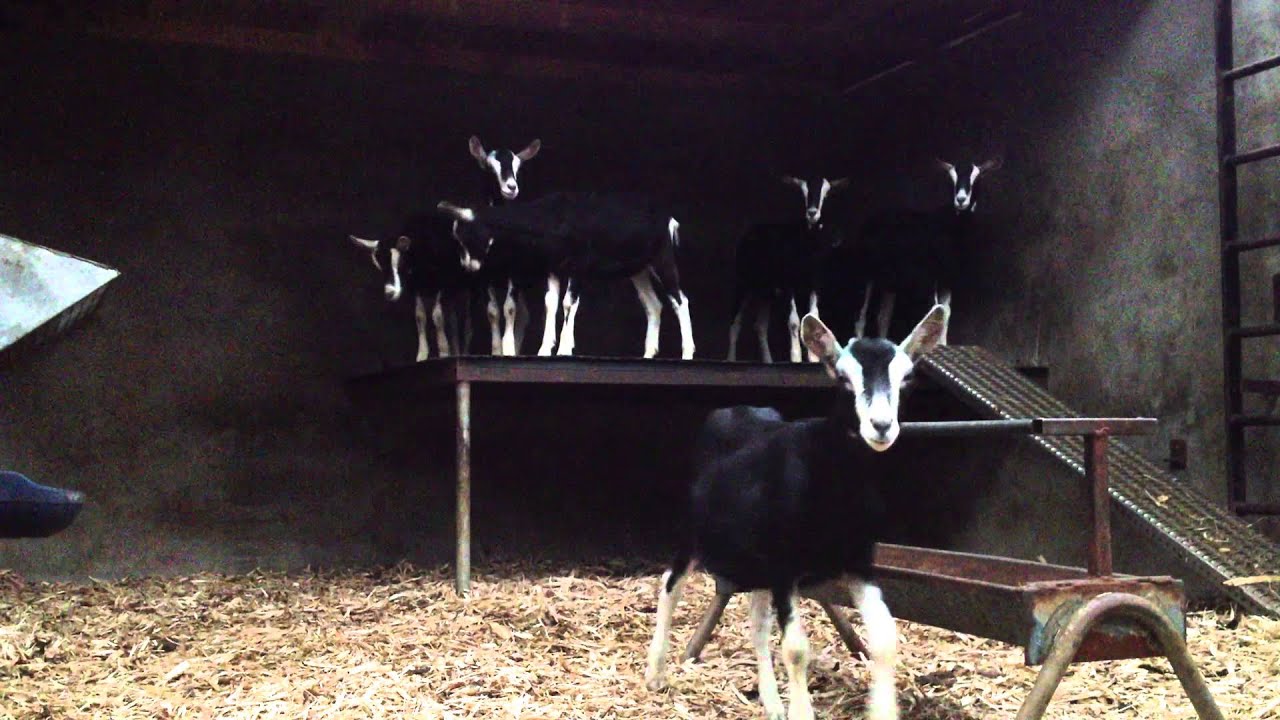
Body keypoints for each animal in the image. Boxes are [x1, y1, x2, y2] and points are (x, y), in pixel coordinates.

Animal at [349, 213, 471, 361]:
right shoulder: (416, 288)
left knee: (466, 318)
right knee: (453, 318)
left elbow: (437, 316)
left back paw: (465, 352)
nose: (389, 292)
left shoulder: (441, 284)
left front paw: (443, 351)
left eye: (401, 263)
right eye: (379, 267)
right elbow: (420, 316)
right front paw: (422, 355)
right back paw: (456, 352)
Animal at [436, 192, 695, 359]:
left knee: (680, 300)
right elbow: (550, 303)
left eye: (468, 236)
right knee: (654, 305)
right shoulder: (554, 268)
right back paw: (648, 354)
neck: (553, 218)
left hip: (662, 259)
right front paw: (543, 350)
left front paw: (563, 349)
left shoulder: (578, 267)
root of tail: (667, 219)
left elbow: (569, 304)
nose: (468, 265)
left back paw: (687, 354)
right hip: (639, 270)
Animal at [645, 302, 950, 720]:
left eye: (905, 379)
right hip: (695, 533)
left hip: (757, 559)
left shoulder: (857, 561)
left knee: (757, 621)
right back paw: (656, 673)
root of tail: (736, 409)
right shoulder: (784, 565)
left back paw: (772, 701)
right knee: (669, 586)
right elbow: (795, 649)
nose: (881, 426)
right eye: (842, 377)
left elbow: (885, 638)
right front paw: (801, 710)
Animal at [728, 175, 849, 363]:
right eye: (802, 191)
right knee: (735, 323)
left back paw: (768, 361)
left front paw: (813, 359)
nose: (812, 212)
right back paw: (731, 359)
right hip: (743, 283)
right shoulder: (788, 285)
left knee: (759, 326)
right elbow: (794, 321)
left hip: (766, 292)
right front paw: (796, 357)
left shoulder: (814, 284)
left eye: (826, 193)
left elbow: (813, 316)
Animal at [849, 158, 1000, 341]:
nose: (961, 199)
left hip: (891, 280)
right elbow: (933, 309)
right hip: (867, 273)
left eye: (976, 179)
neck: (951, 228)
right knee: (862, 314)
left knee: (883, 316)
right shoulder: (929, 277)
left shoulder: (947, 279)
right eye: (951, 180)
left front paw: (943, 343)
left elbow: (945, 311)